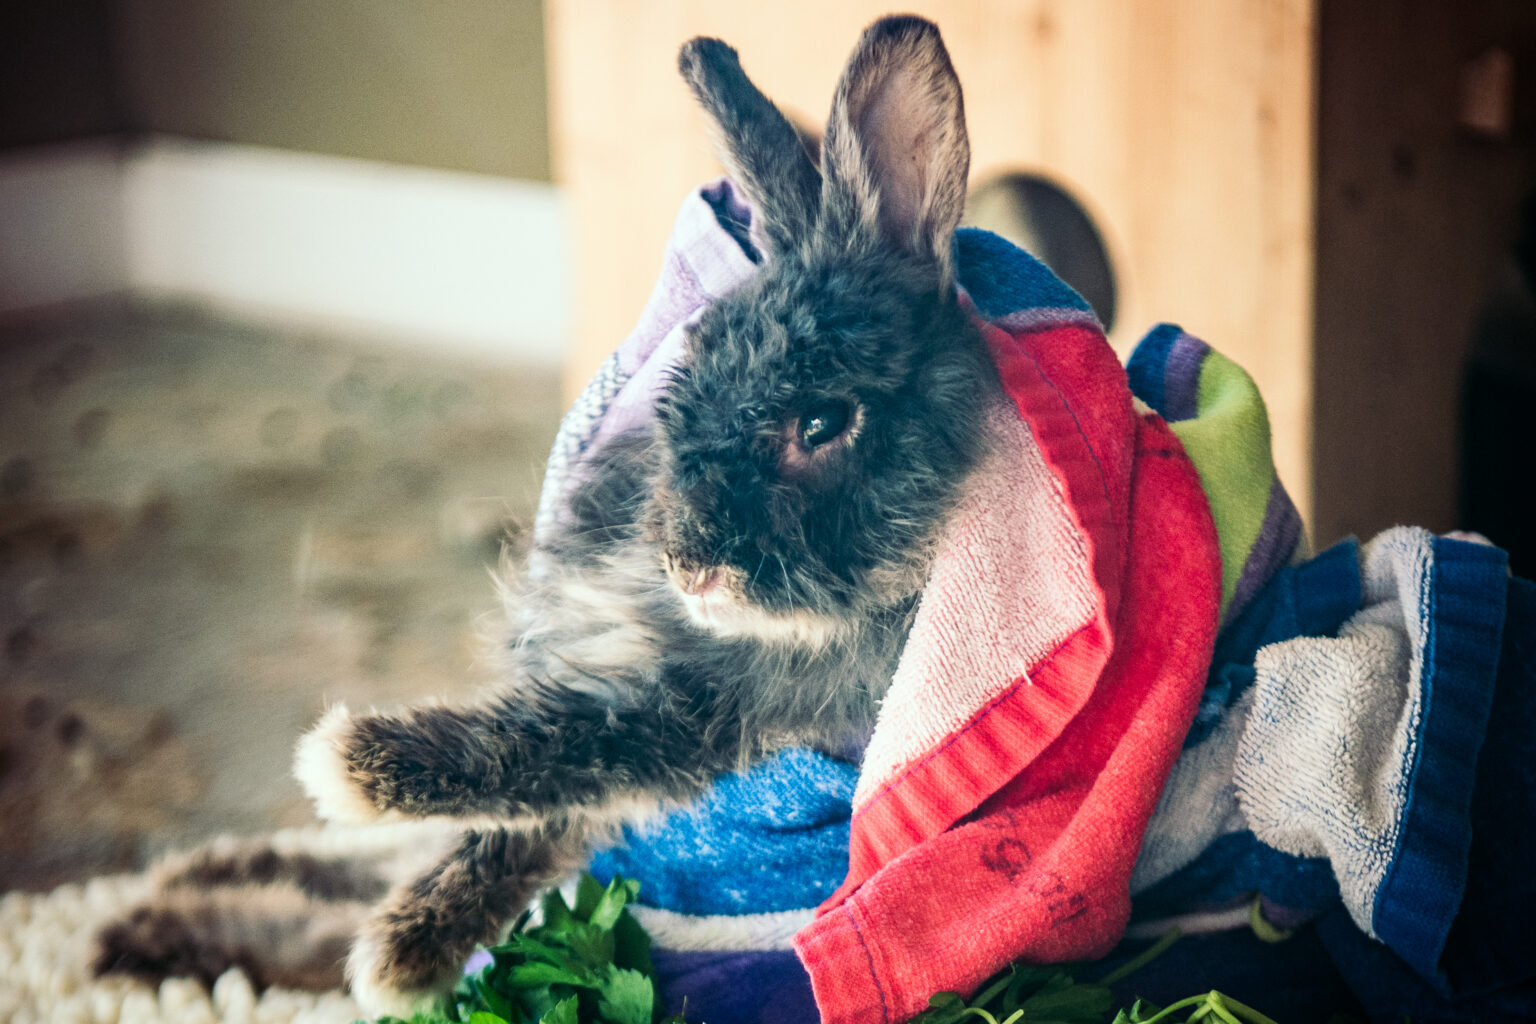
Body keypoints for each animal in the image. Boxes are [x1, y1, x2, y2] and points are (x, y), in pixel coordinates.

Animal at [289, 14, 999, 1016]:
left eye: (822, 422)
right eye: (684, 386)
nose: (688, 566)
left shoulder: (703, 722)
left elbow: (560, 745)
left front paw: (349, 767)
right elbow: (539, 819)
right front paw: (406, 950)